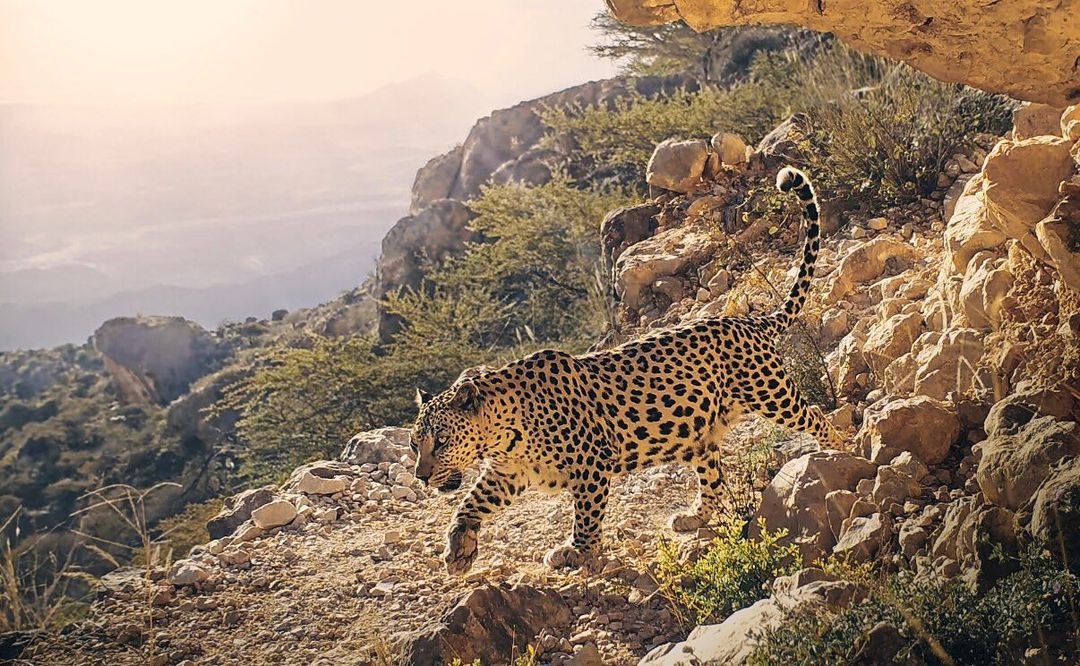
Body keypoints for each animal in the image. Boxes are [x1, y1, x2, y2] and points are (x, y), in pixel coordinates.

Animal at [409, 167, 845, 574]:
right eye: (415, 445)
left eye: (441, 443)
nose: (420, 476)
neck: (502, 434)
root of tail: (750, 321)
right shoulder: (506, 472)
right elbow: (469, 504)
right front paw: (458, 550)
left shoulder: (591, 462)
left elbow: (586, 515)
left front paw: (576, 552)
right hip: (699, 435)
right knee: (713, 474)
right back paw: (693, 516)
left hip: (771, 394)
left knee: (815, 414)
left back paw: (841, 447)